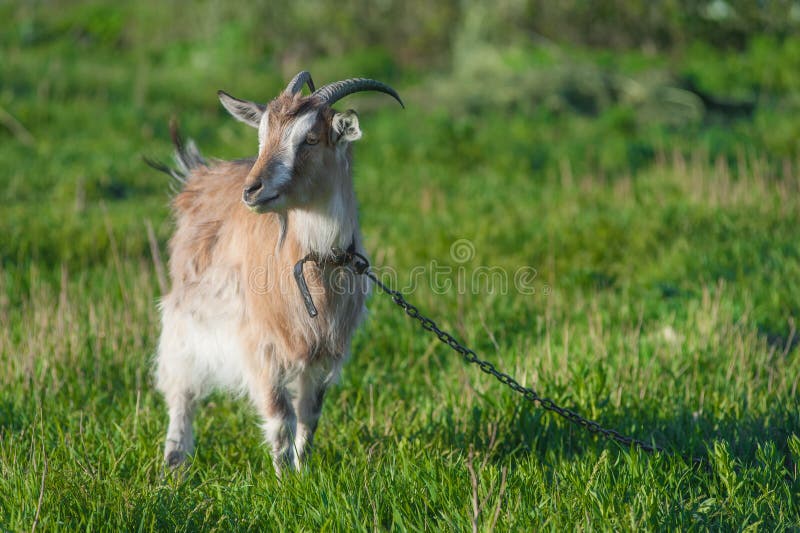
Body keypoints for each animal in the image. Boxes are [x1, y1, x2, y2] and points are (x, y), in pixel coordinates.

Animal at [151, 71, 403, 474]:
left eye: (310, 138)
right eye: (262, 136)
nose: (252, 190)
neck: (315, 261)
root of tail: (200, 175)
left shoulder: (322, 350)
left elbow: (309, 416)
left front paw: (303, 472)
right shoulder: (260, 345)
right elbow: (280, 416)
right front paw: (283, 479)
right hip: (184, 318)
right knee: (181, 388)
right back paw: (174, 462)